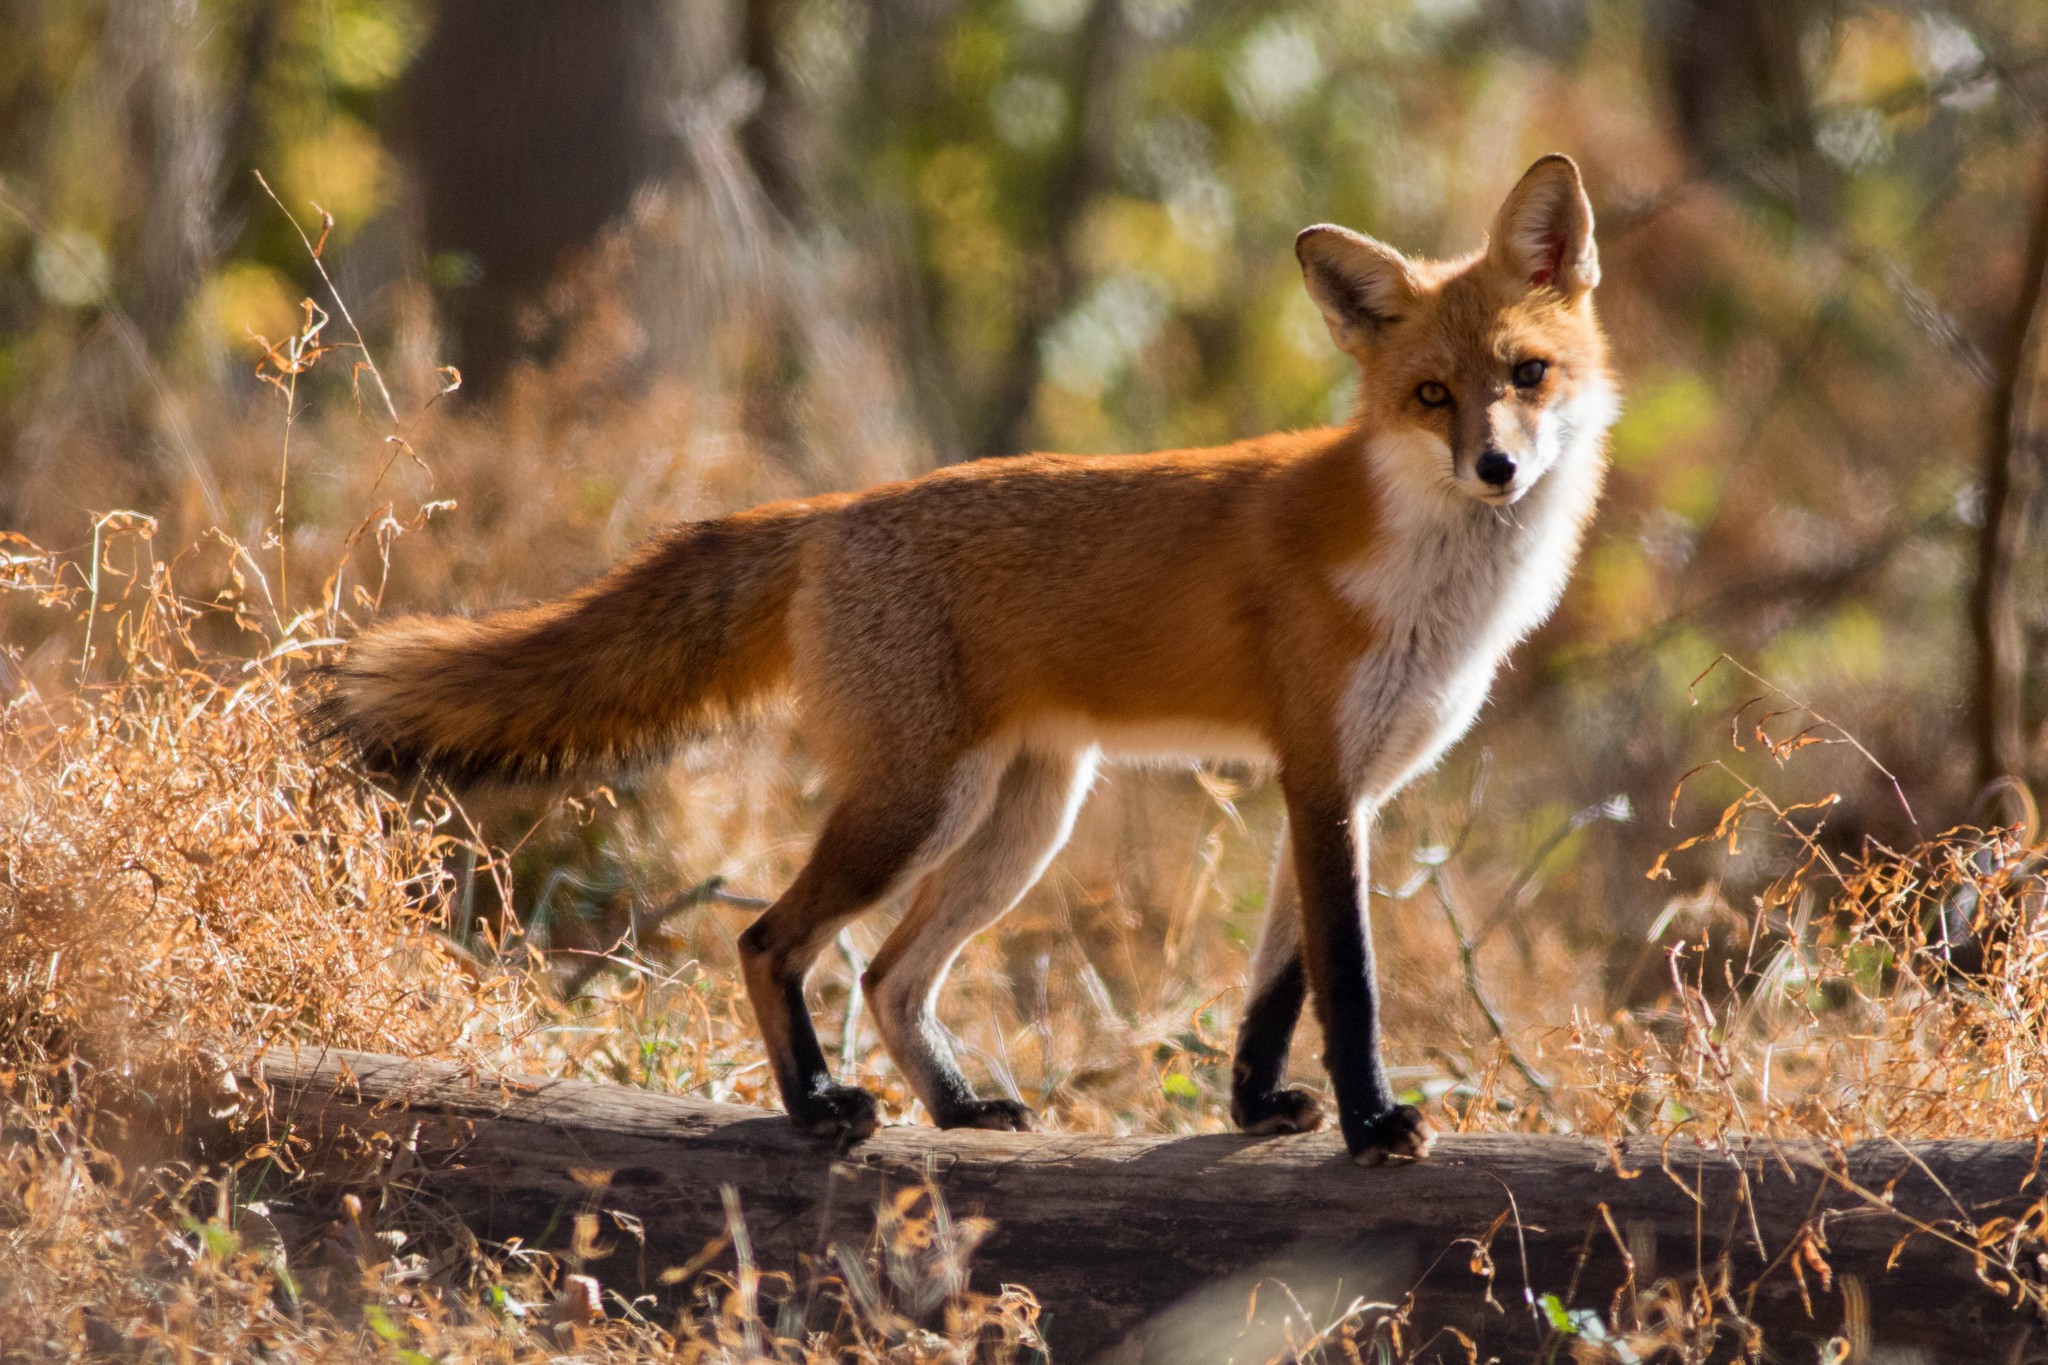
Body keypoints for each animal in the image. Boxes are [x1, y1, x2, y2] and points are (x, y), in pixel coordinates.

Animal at [320, 154, 1617, 1166]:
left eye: (1526, 375)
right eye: (1430, 394)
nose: (1497, 469)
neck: (1432, 581)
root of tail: (827, 511)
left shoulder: (1352, 790)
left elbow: (1274, 984)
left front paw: (1255, 1109)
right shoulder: (1318, 780)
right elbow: (1347, 984)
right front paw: (1370, 1123)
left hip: (1018, 820)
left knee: (890, 977)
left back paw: (952, 1111)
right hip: (919, 807)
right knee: (774, 942)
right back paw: (816, 1107)